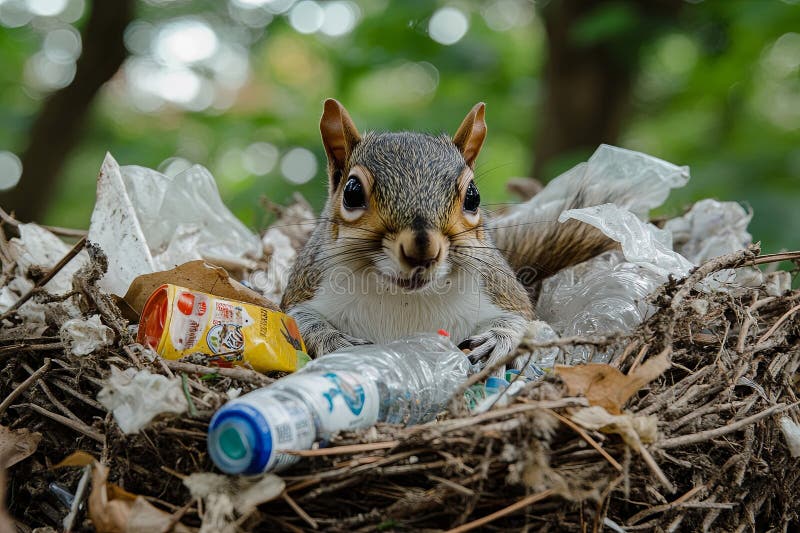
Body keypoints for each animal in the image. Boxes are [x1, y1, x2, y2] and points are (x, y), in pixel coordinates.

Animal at [281, 99, 614, 370]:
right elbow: (296, 320)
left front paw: (499, 340)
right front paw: (336, 343)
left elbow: (522, 318)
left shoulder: (499, 289)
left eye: (473, 196)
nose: (422, 249)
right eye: (351, 192)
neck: (404, 299)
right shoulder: (307, 287)